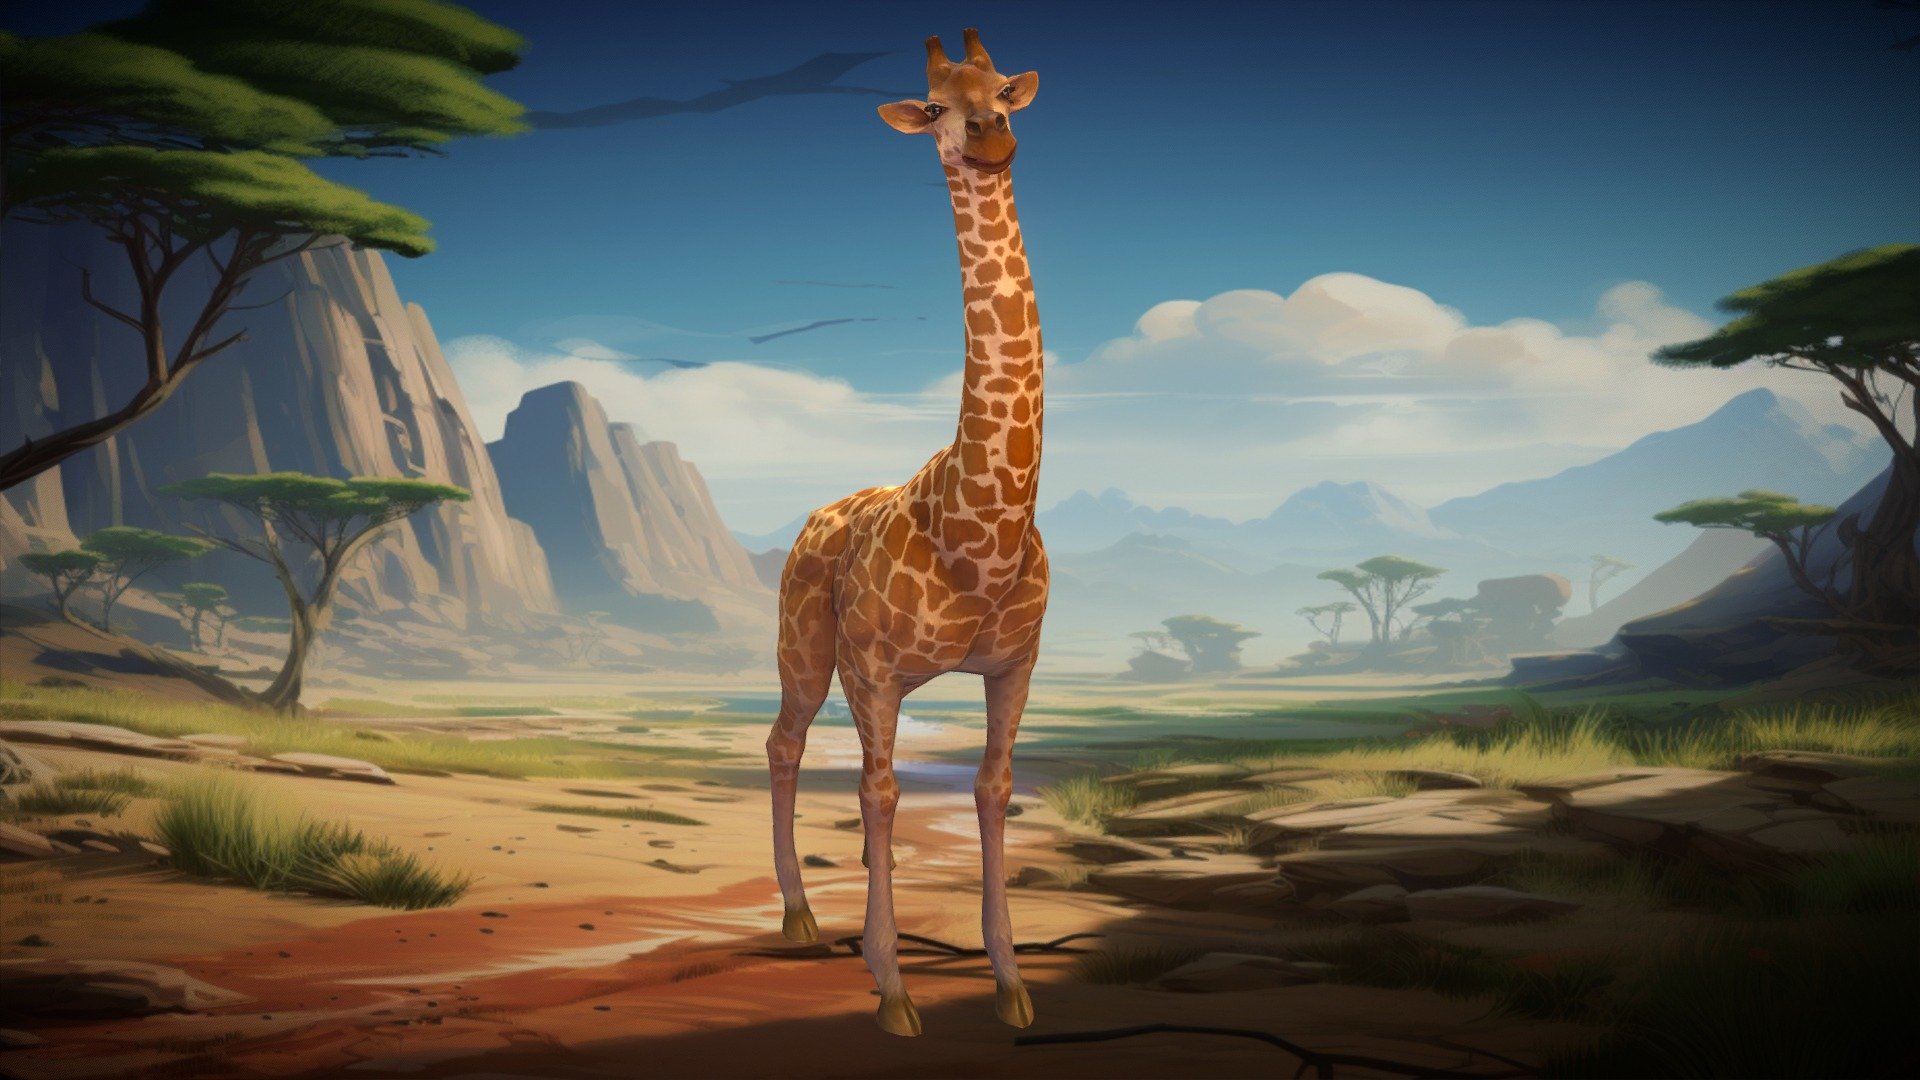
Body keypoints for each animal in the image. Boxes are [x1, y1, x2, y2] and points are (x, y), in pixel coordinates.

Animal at [764, 28, 1048, 1038]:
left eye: (1003, 88)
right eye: (933, 106)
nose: (992, 136)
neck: (981, 533)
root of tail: (816, 515)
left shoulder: (1016, 663)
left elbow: (993, 787)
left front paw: (1010, 983)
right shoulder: (876, 669)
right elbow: (879, 791)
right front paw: (892, 989)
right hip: (805, 649)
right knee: (785, 745)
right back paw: (803, 918)